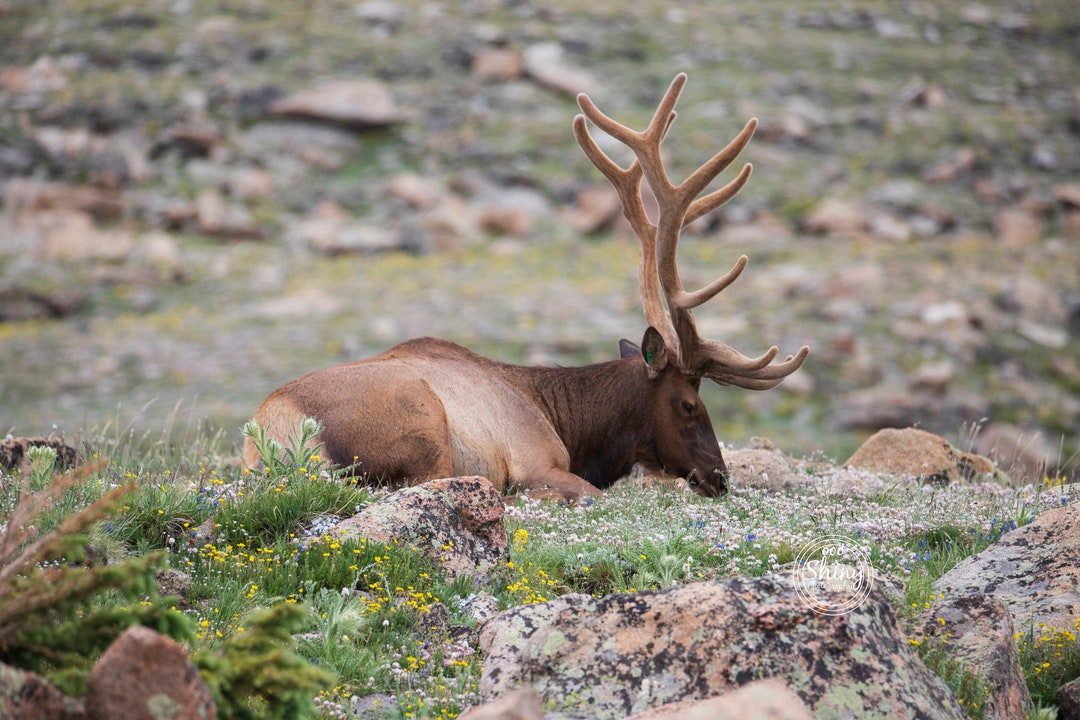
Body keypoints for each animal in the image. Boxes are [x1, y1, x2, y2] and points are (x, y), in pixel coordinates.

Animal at [242, 73, 809, 503]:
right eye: (690, 405)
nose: (720, 476)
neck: (572, 425)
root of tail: (278, 435)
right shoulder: (538, 461)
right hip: (423, 422)